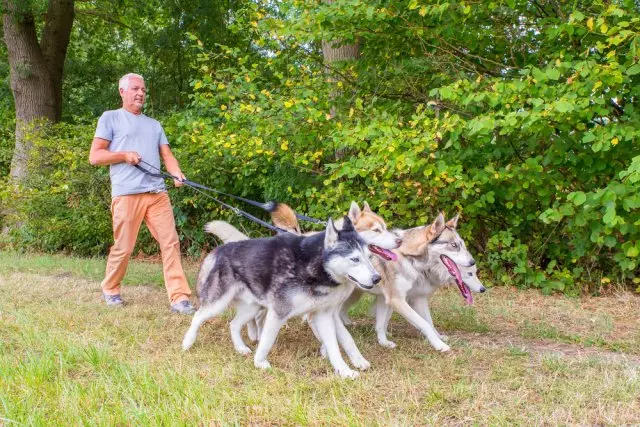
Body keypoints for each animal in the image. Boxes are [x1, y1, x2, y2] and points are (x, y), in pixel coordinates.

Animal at [180, 217, 380, 378]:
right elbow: (267, 341)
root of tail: (220, 250)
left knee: (234, 324)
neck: (313, 265)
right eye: (354, 259)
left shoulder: (324, 315)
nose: (377, 278)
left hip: (251, 308)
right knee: (198, 316)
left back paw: (240, 348)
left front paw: (345, 370)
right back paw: (187, 342)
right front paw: (260, 363)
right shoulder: (279, 312)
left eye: (370, 257)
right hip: (218, 304)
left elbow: (339, 343)